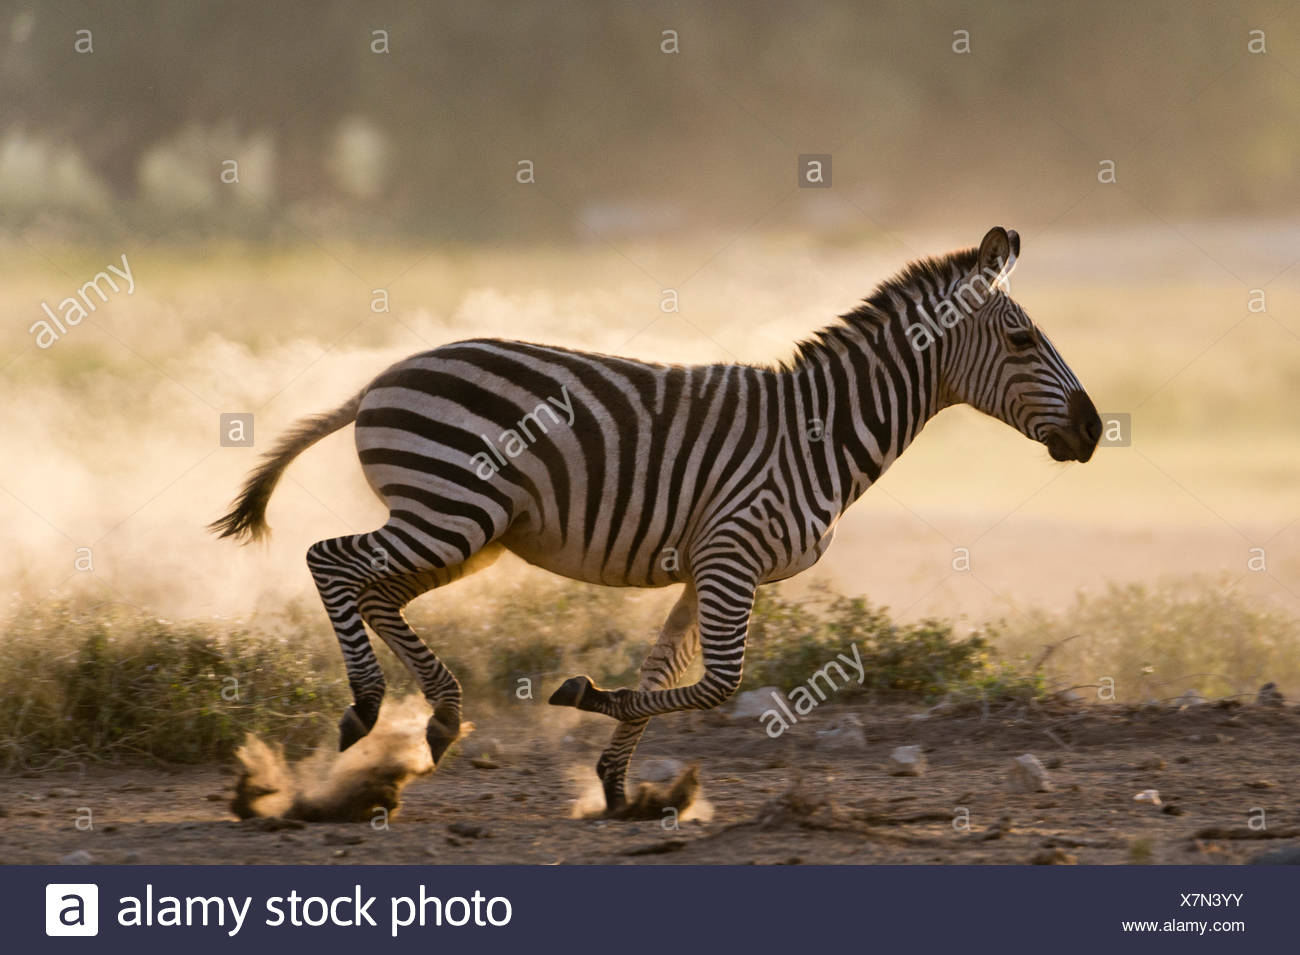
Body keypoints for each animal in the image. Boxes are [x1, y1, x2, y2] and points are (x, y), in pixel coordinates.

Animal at [211, 226, 1101, 814]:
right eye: (1023, 340)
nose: (1094, 431)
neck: (821, 428)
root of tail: (380, 379)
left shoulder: (711, 560)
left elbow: (666, 667)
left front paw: (617, 783)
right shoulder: (733, 550)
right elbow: (717, 680)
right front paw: (590, 708)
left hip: (468, 528)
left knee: (376, 589)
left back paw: (441, 716)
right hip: (454, 510)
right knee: (332, 559)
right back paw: (367, 705)